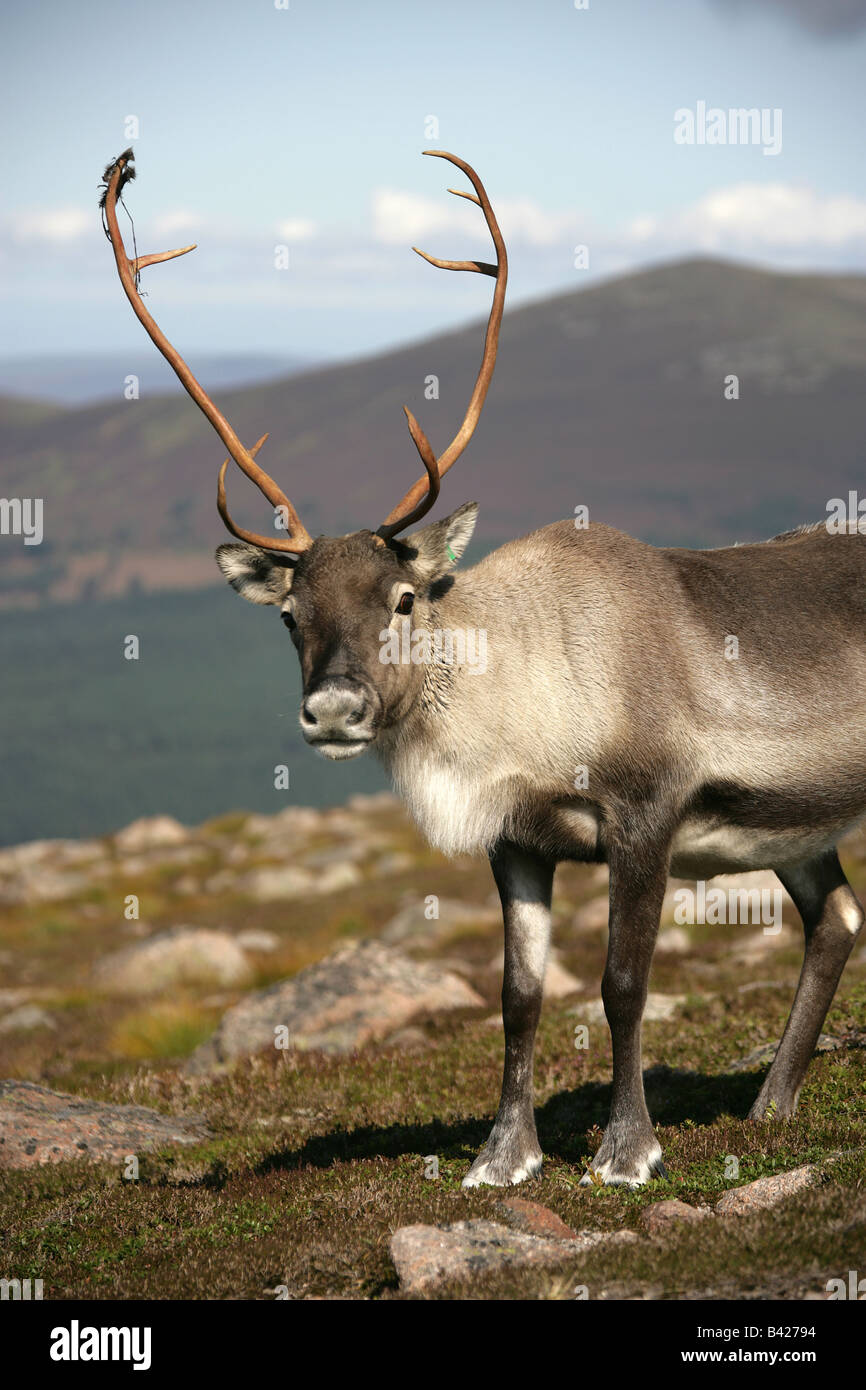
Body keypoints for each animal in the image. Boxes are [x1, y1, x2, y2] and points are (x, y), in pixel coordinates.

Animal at [101, 147, 866, 1188]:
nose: (333, 709)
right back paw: (769, 1106)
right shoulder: (517, 840)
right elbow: (519, 997)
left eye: (403, 598)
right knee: (837, 920)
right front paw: (502, 1158)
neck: (523, 700)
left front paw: (627, 1150)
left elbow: (623, 983)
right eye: (291, 615)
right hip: (797, 824)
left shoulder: (647, 810)